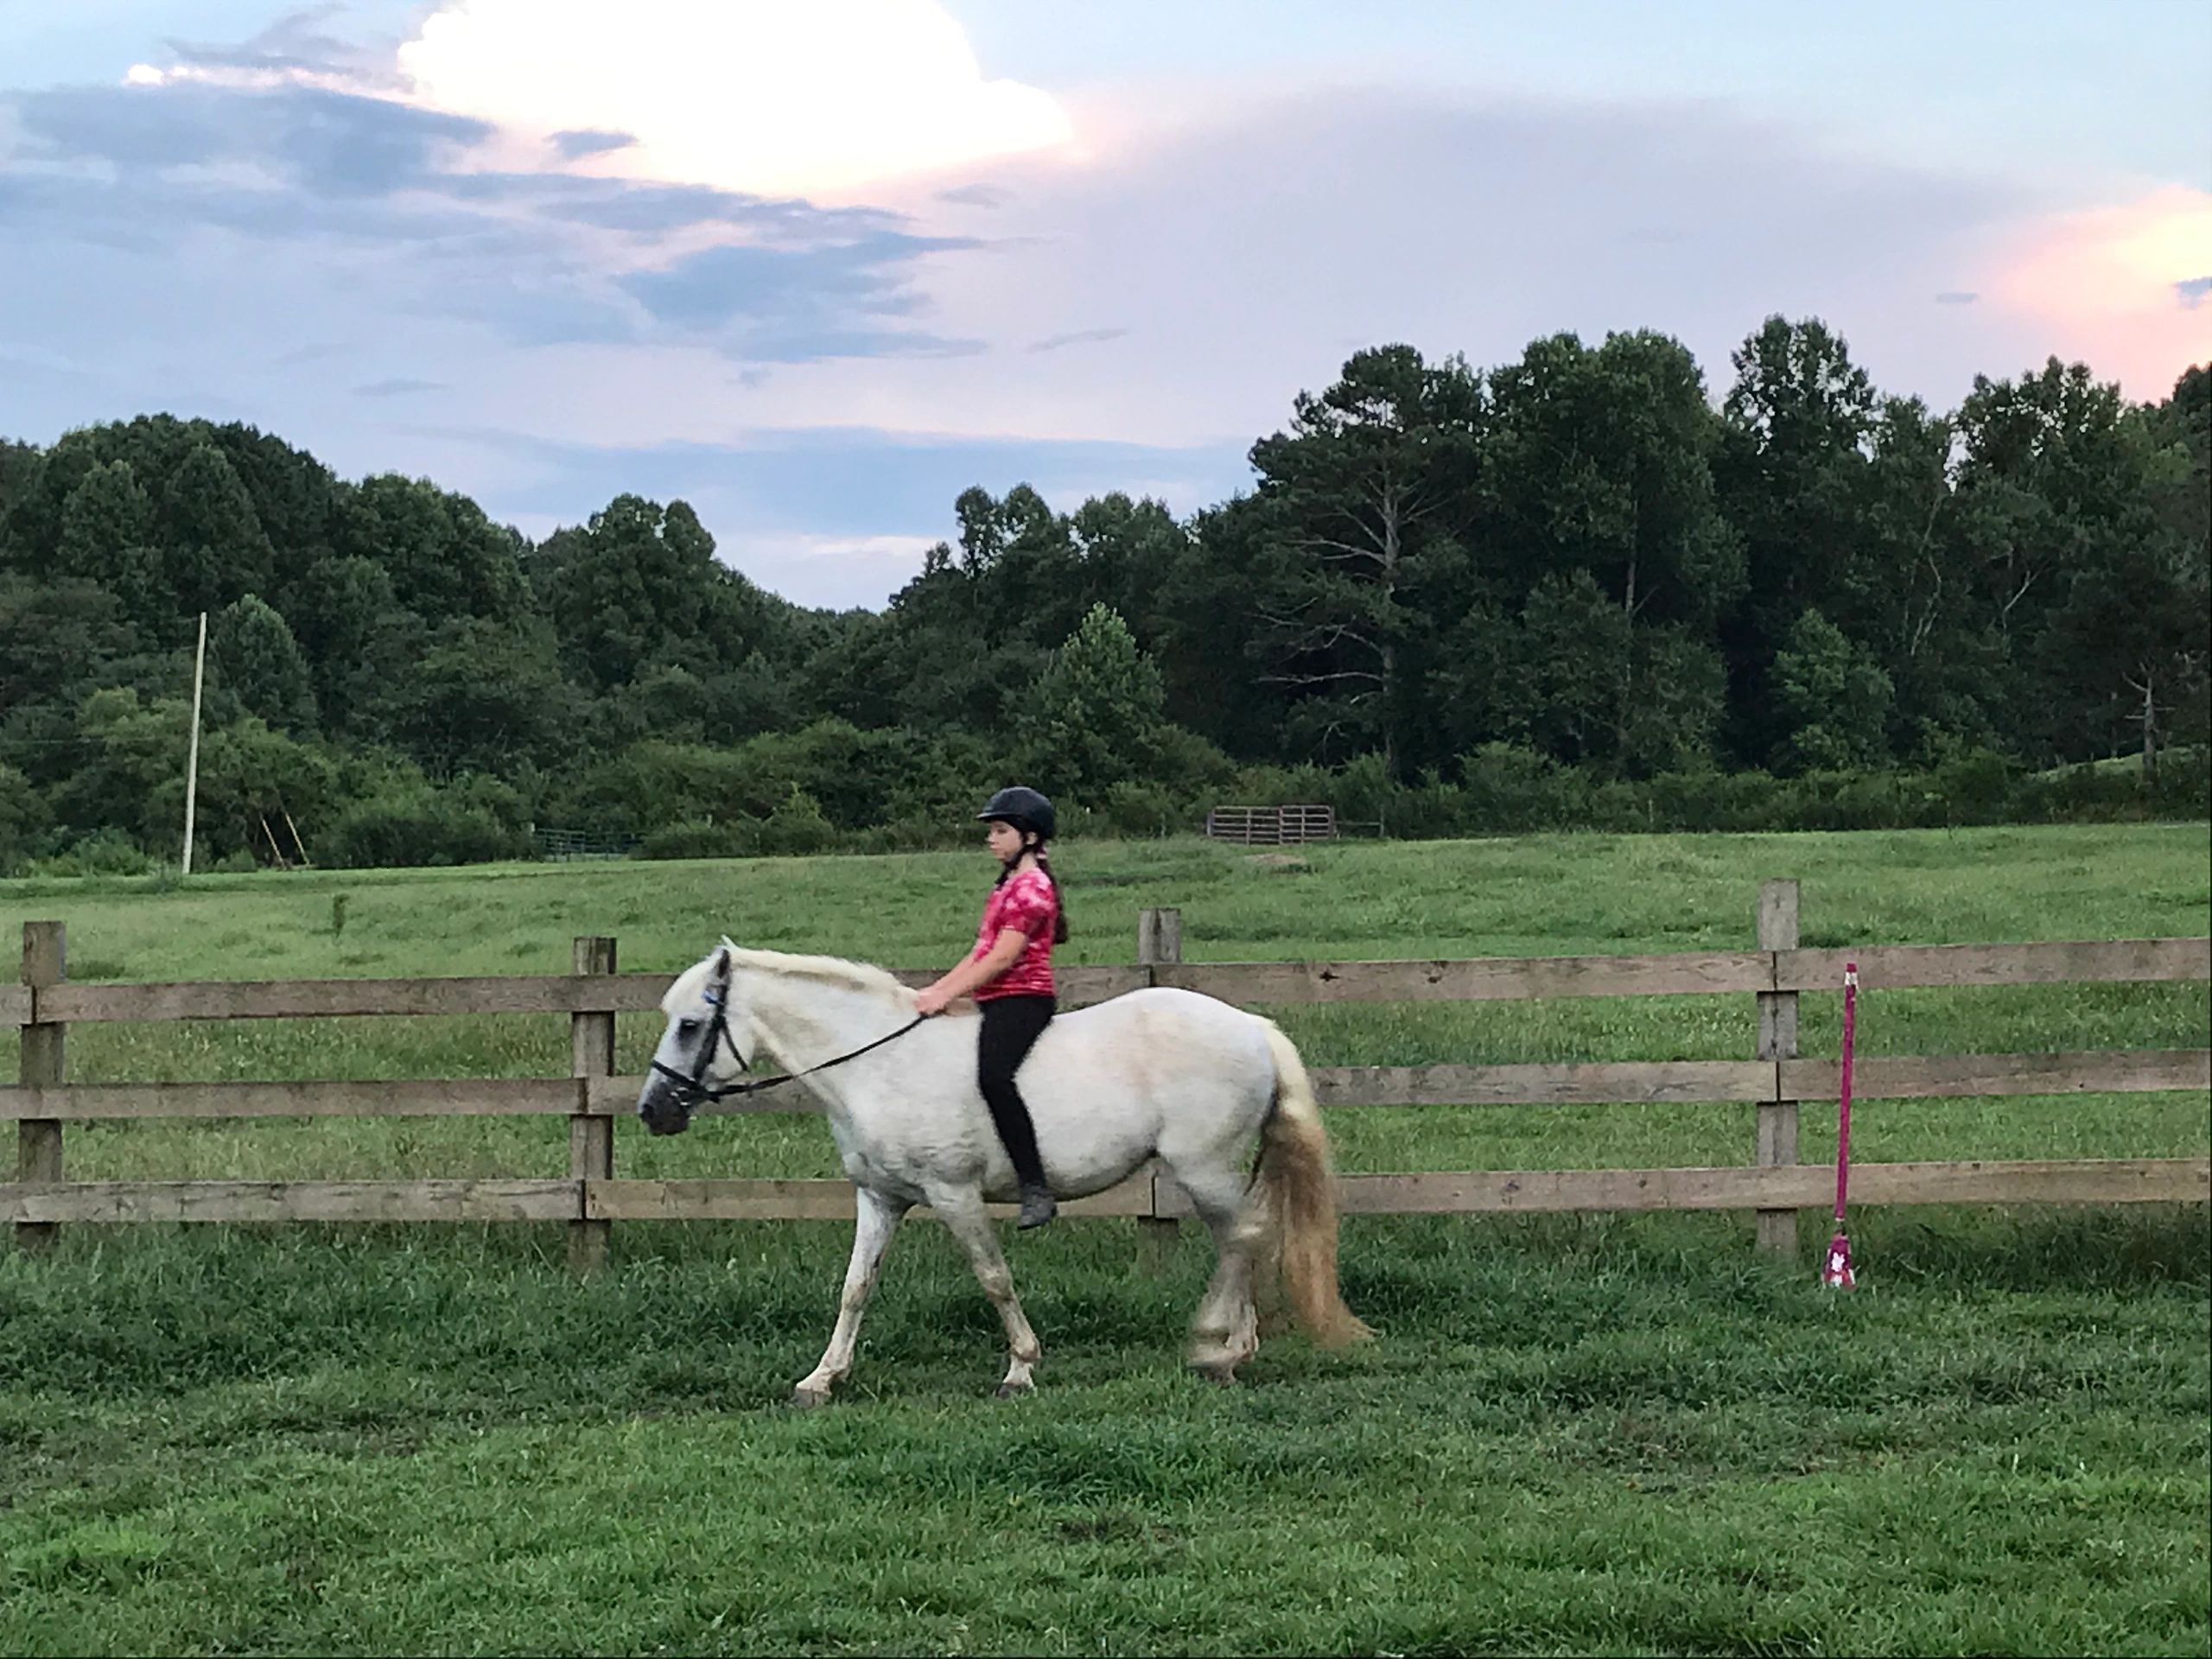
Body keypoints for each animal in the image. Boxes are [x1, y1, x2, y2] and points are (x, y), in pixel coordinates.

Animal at [635, 941, 1370, 1404]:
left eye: (691, 1024)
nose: (652, 1110)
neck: (876, 1064)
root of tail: (1252, 1026)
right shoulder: (880, 1199)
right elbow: (855, 1288)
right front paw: (821, 1379)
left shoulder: (953, 1194)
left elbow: (993, 1278)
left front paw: (1020, 1370)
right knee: (1240, 1239)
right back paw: (1234, 1347)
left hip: (1204, 1166)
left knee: (1242, 1239)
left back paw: (1219, 1351)